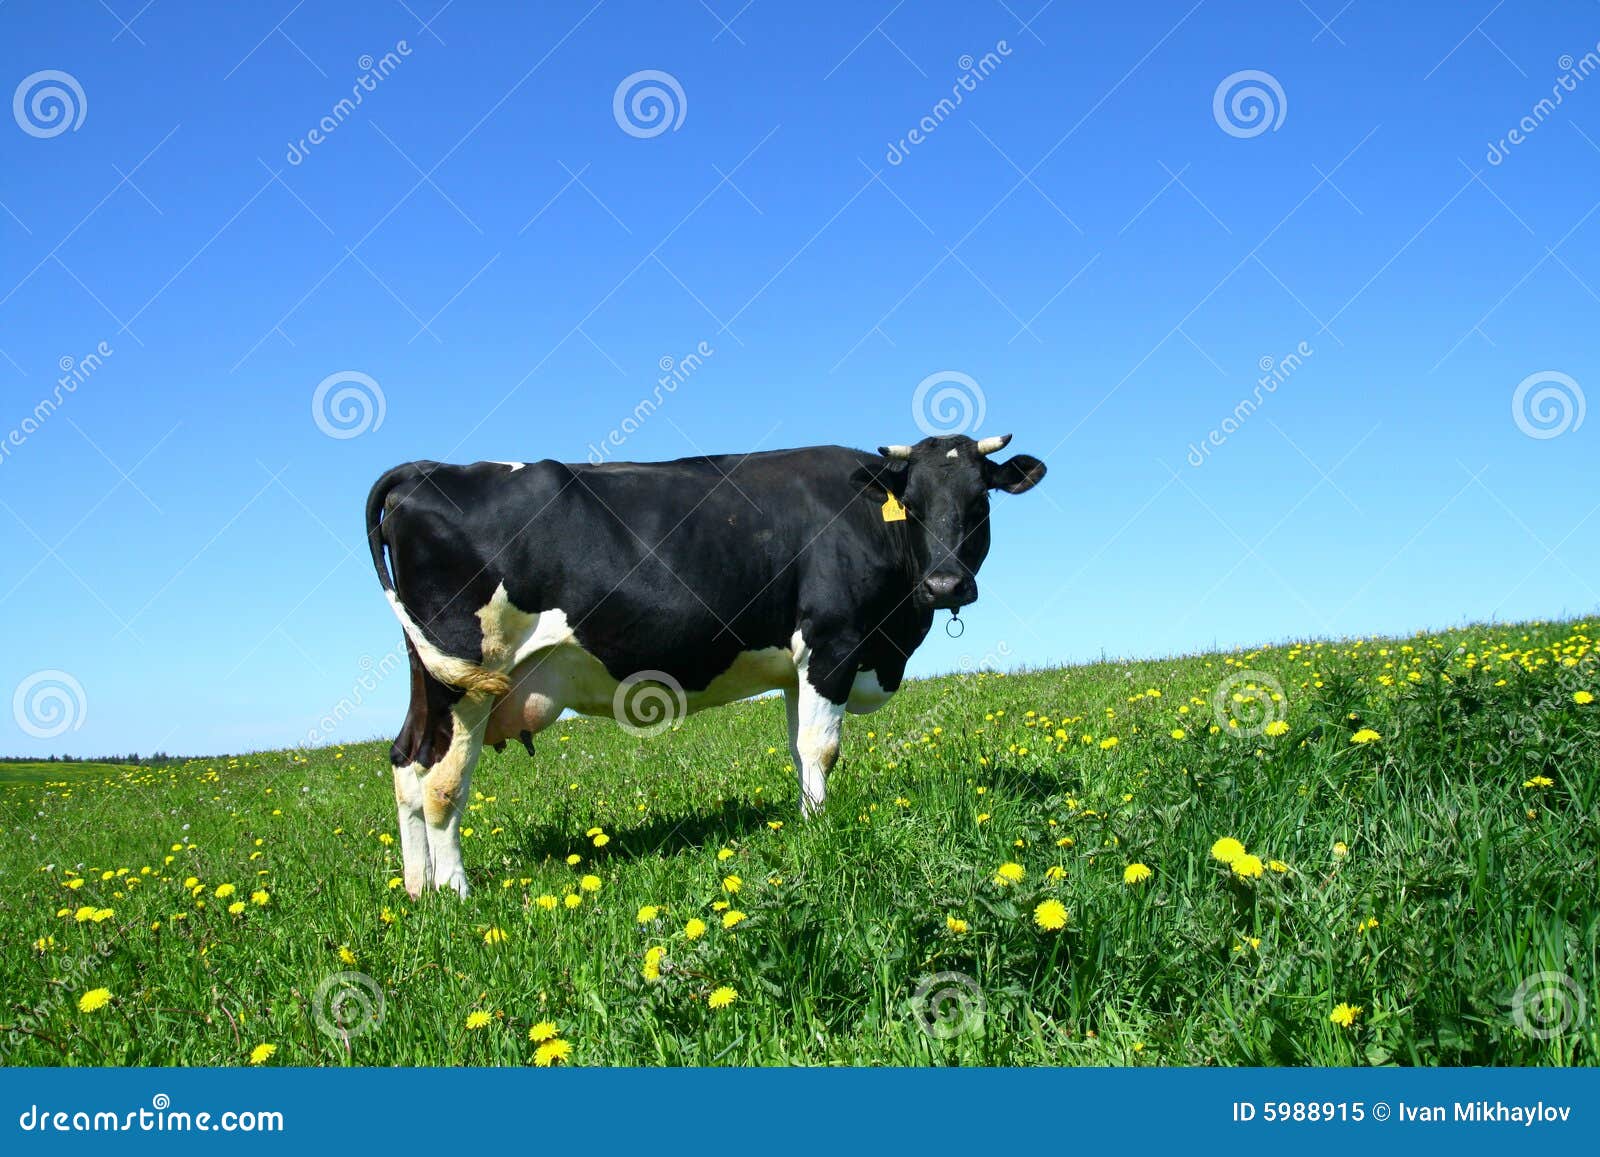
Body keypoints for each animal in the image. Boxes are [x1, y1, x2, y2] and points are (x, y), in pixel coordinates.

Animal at [365, 433, 1046, 896]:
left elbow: (799, 747)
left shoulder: (799, 665)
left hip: (431, 676)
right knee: (442, 783)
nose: (945, 584)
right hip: (469, 675)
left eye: (980, 499)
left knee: (407, 761)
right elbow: (822, 747)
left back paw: (418, 889)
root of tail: (422, 471)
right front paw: (822, 831)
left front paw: (807, 821)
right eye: (915, 502)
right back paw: (457, 892)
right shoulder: (833, 643)